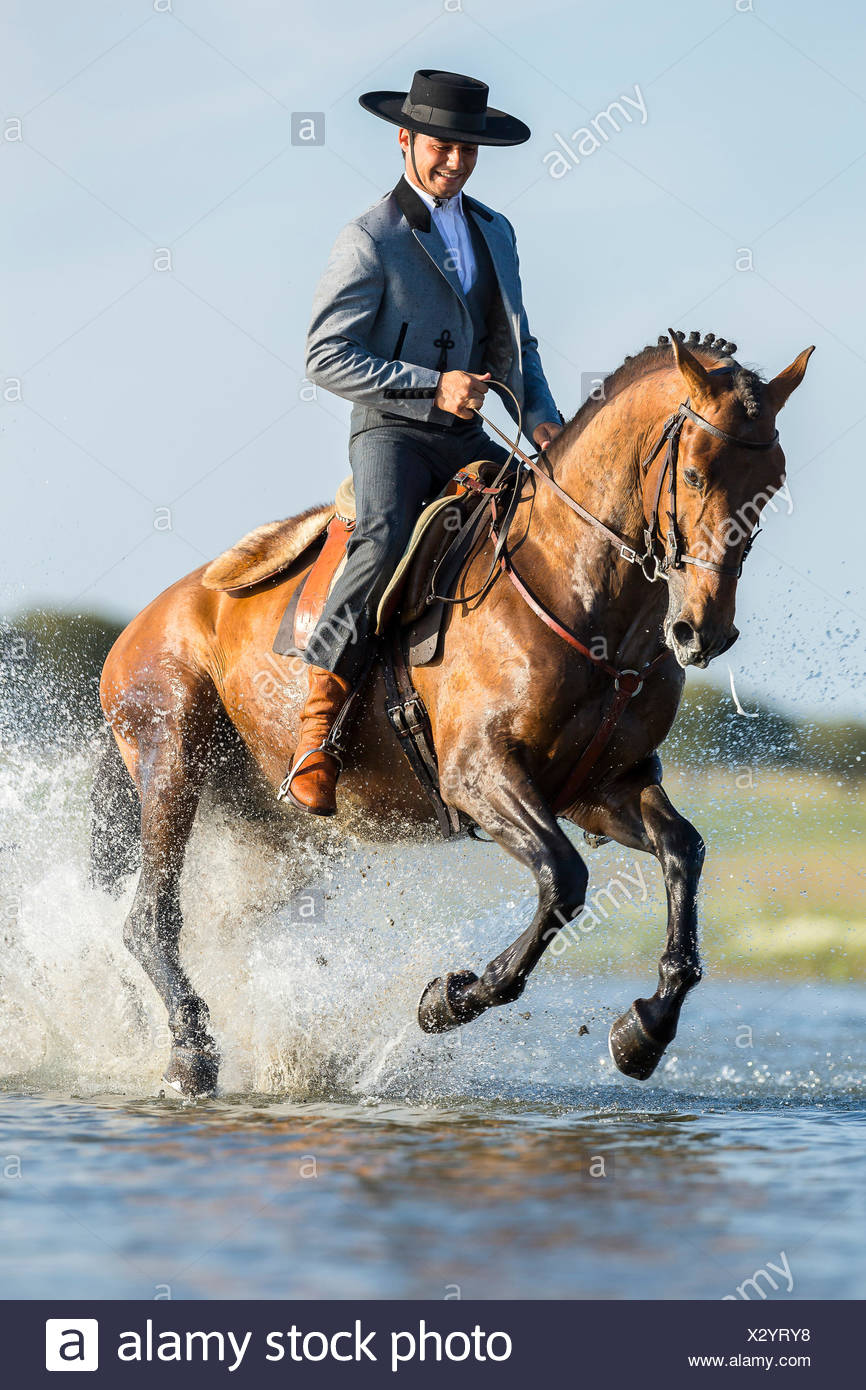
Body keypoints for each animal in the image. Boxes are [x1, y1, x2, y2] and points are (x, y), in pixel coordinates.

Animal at [93, 329, 813, 1097]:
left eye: (772, 485)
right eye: (698, 476)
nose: (701, 634)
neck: (588, 604)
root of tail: (146, 618)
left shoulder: (601, 786)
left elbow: (683, 850)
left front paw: (644, 1030)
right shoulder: (477, 775)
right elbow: (564, 879)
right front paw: (451, 998)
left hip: (268, 823)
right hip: (173, 760)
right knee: (150, 918)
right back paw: (190, 1052)